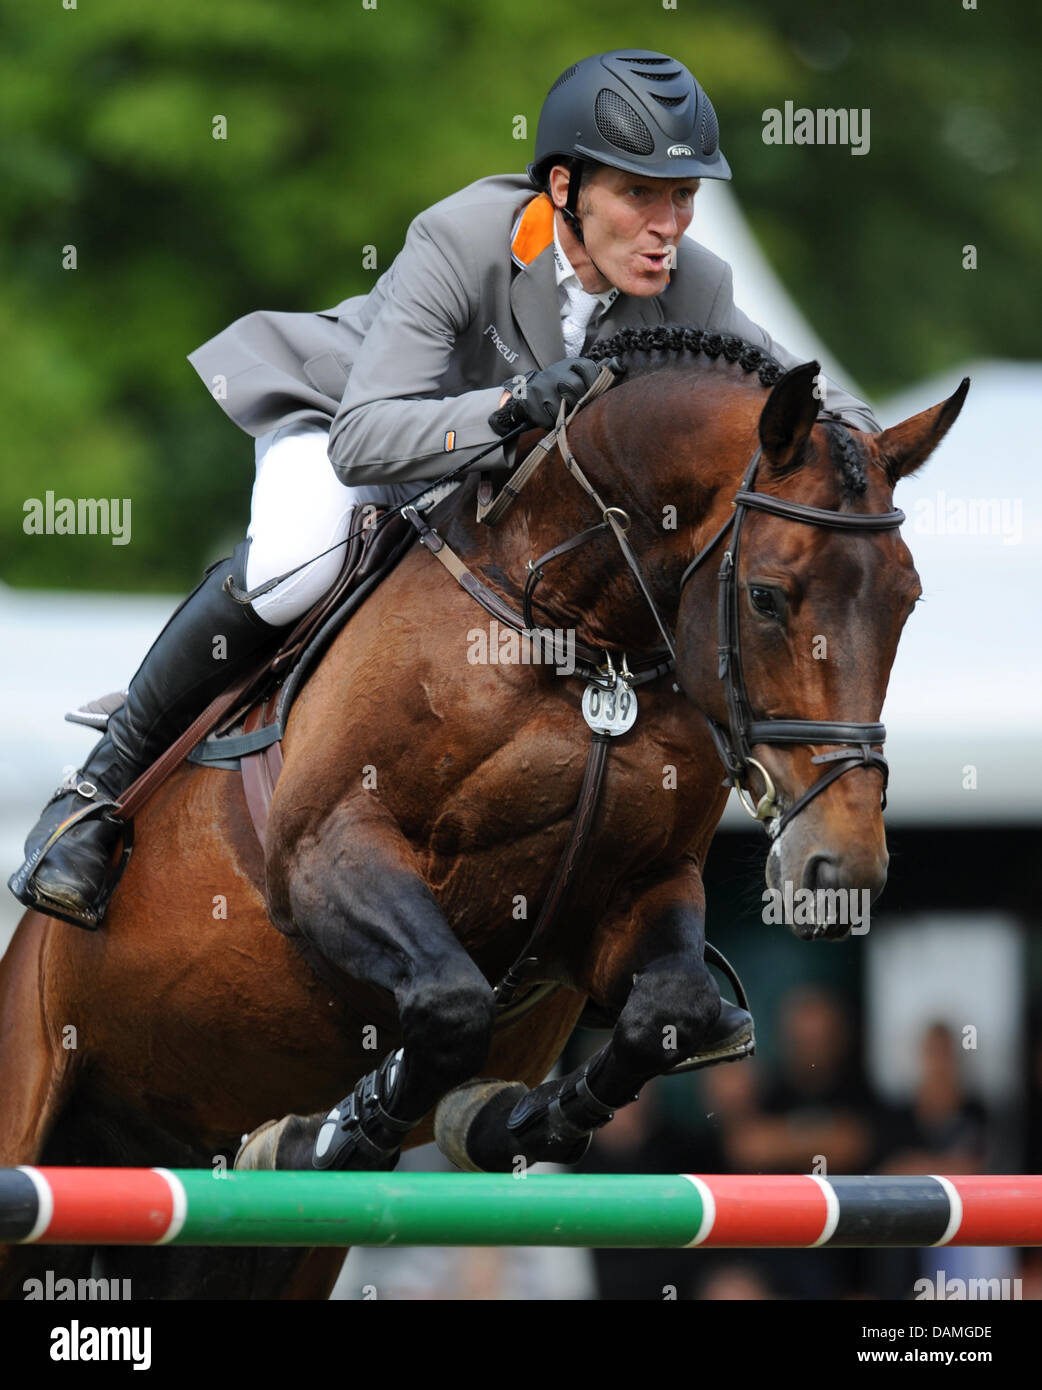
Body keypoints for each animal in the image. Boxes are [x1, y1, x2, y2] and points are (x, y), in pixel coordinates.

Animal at [0, 325, 967, 1298]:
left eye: (908, 601)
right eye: (767, 595)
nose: (842, 868)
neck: (584, 638)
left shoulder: (635, 892)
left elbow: (674, 1008)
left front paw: (506, 1122)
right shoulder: (323, 854)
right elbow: (451, 1002)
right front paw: (325, 1132)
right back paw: (73, 850)